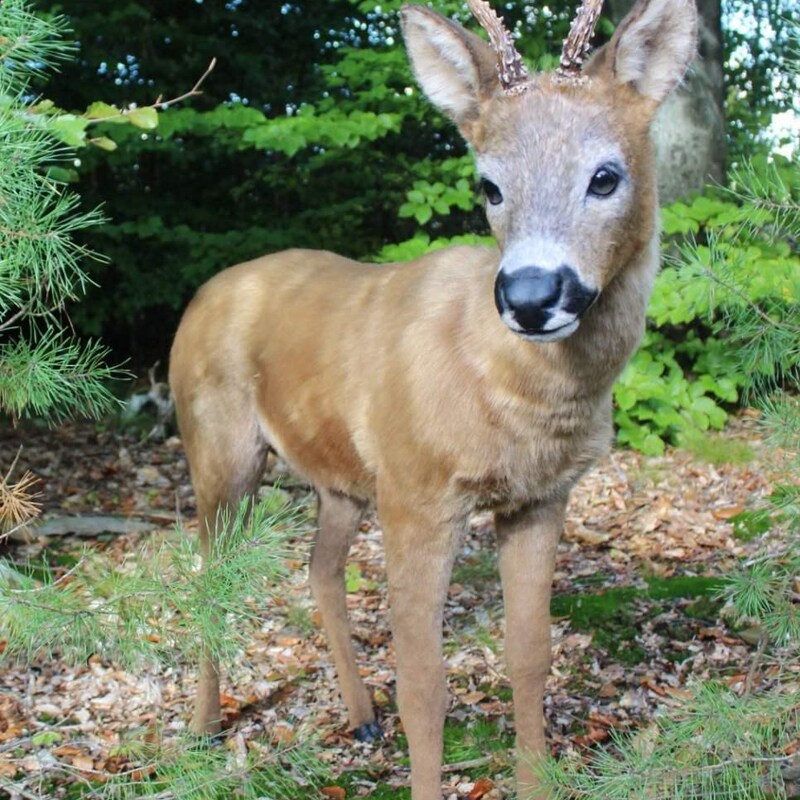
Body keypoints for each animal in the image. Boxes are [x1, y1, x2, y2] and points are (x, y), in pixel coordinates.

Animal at [168, 0, 697, 796]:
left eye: (605, 177)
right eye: (489, 185)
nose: (530, 295)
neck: (509, 392)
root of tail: (201, 295)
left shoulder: (540, 497)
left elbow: (529, 657)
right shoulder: (419, 494)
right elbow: (425, 685)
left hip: (342, 477)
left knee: (320, 568)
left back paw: (360, 717)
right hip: (217, 446)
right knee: (211, 577)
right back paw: (203, 730)